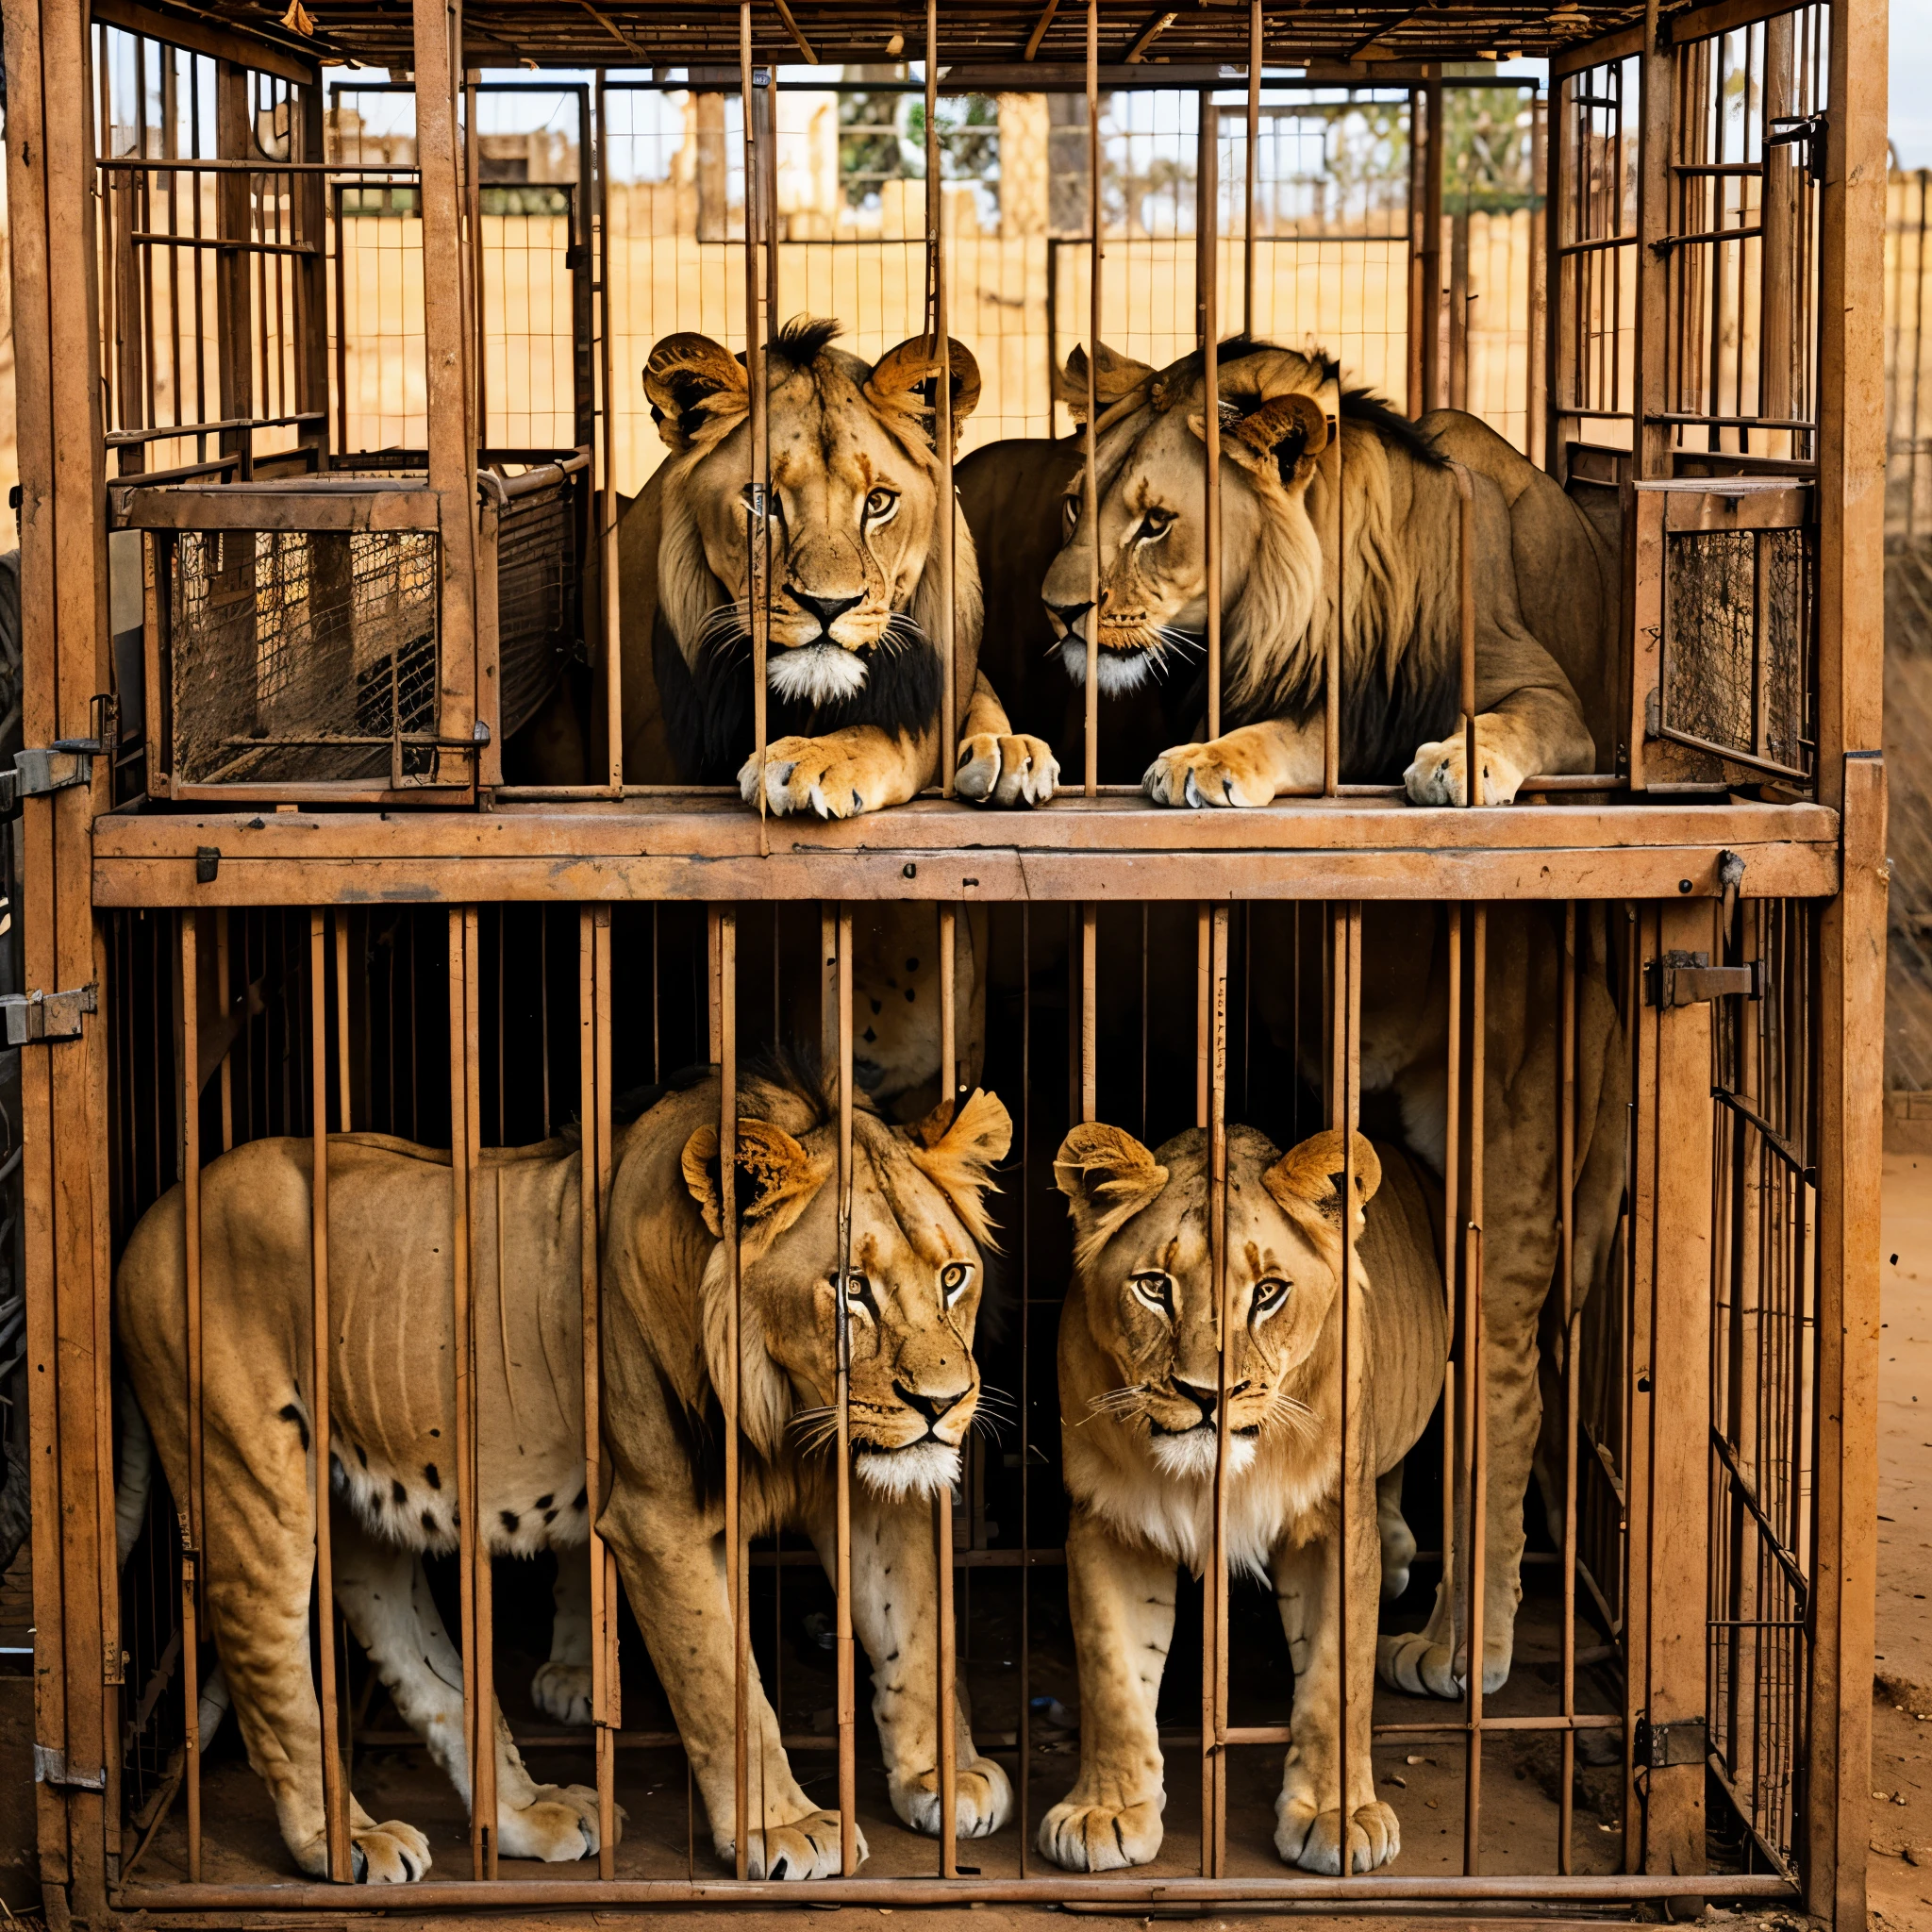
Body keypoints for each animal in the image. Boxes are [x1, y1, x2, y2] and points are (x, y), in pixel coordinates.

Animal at [115, 1059, 1016, 1883]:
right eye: (851, 1288)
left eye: (953, 1275)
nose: (942, 1404)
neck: (788, 1410)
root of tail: (153, 1214)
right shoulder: (656, 1520)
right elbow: (726, 1685)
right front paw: (783, 1827)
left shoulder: (875, 1489)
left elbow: (915, 1630)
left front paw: (943, 1778)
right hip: (250, 1485)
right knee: (269, 1666)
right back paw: (344, 1845)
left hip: (357, 1505)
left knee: (424, 1669)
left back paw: (528, 1816)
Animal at [1041, 1122, 1447, 1876]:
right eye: (1153, 1287)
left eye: (1267, 1292)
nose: (1208, 1396)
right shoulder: (1108, 1521)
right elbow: (1112, 1676)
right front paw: (1105, 1811)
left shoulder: (1335, 1522)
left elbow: (1335, 1681)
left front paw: (1339, 1818)